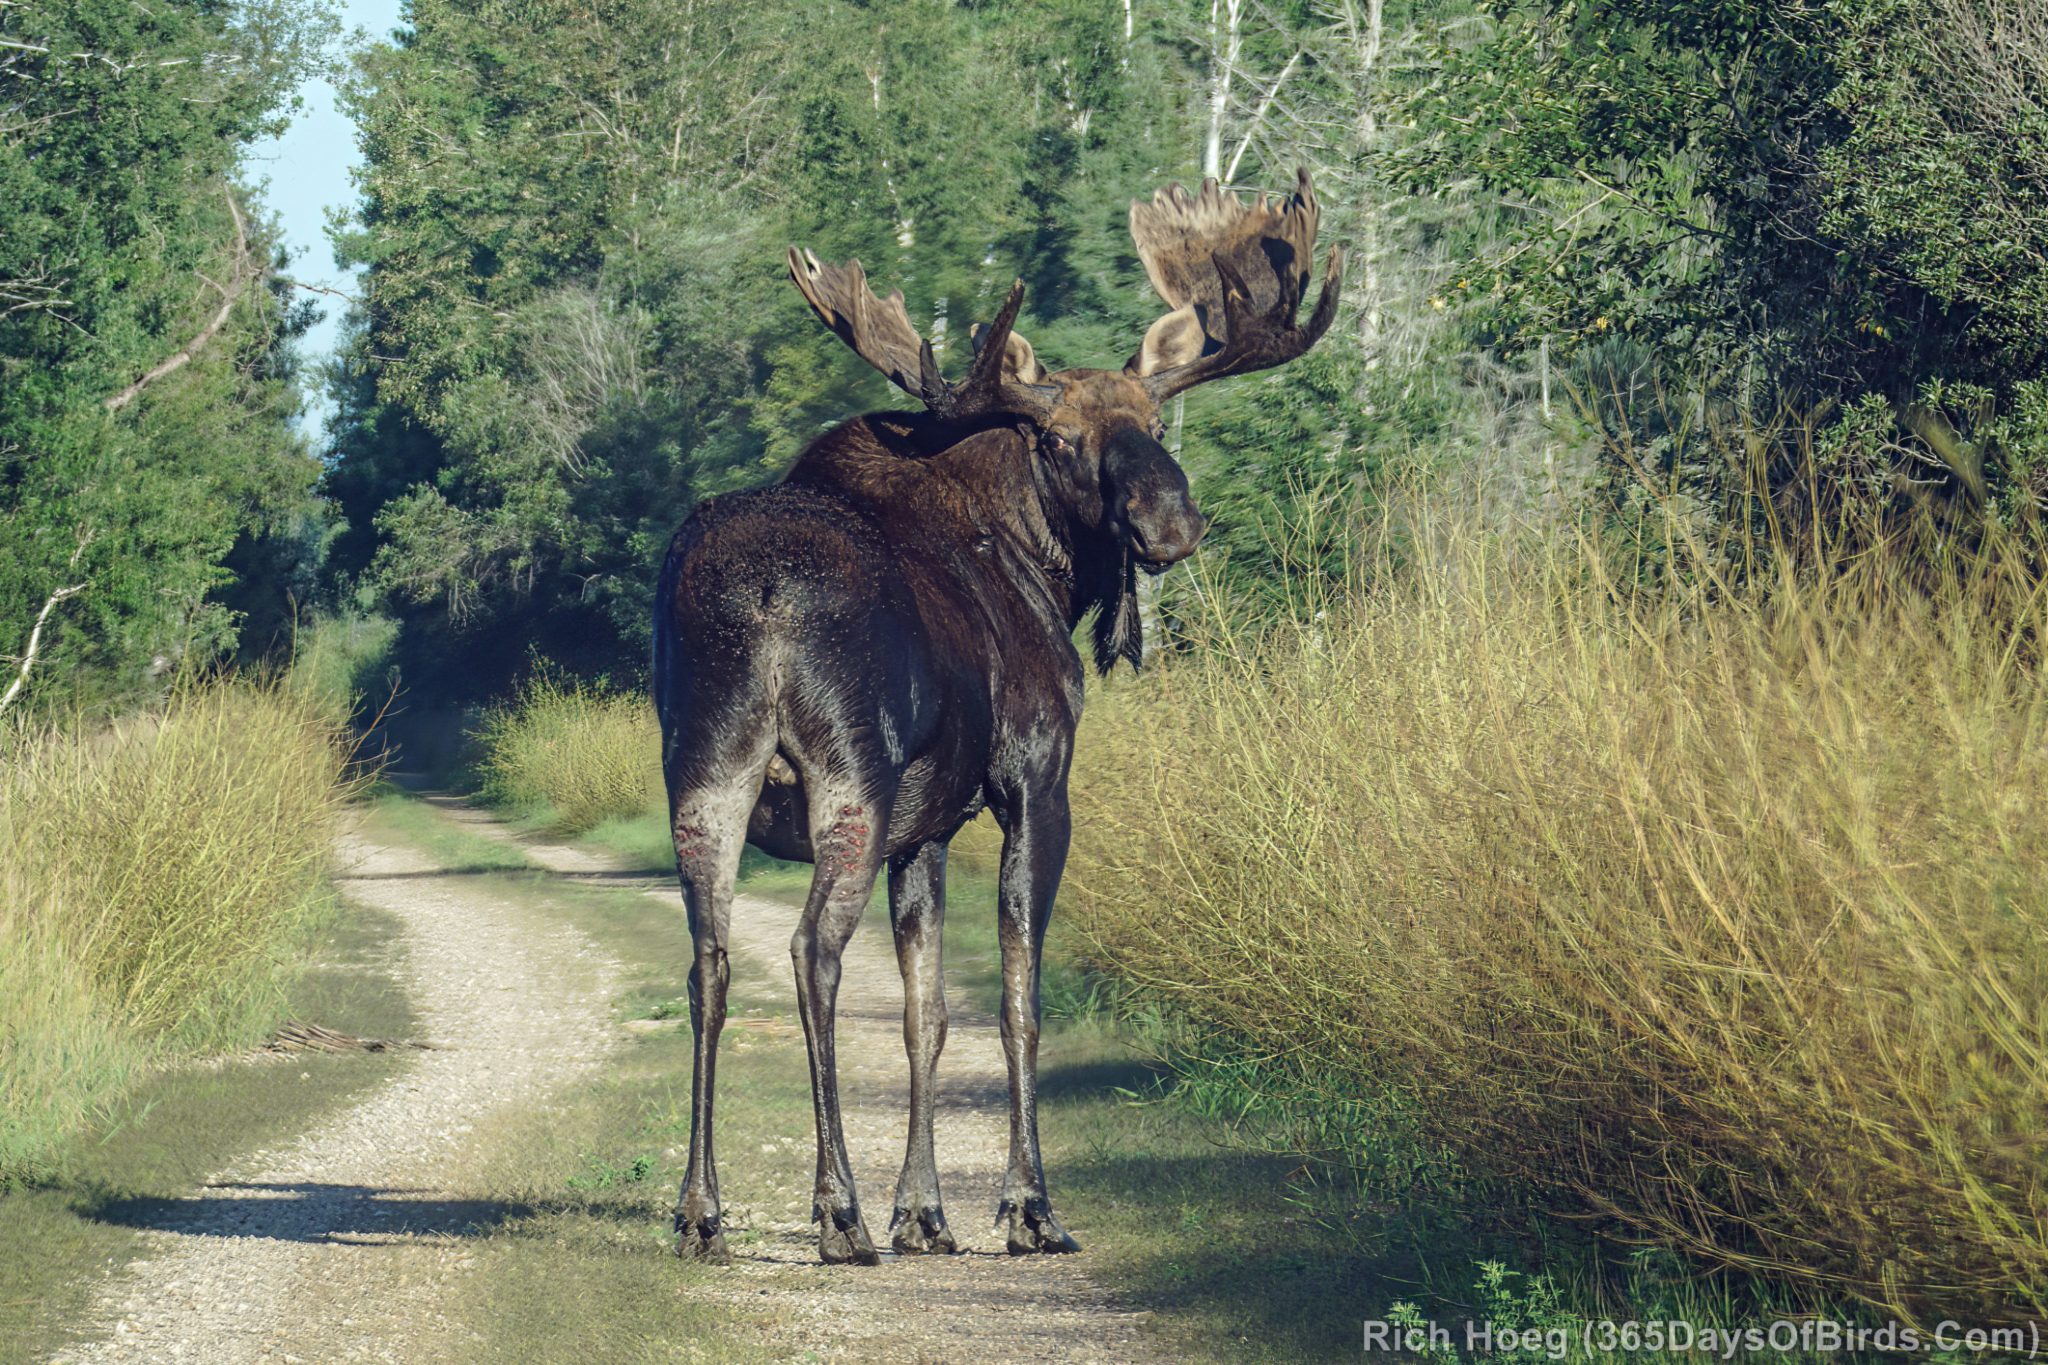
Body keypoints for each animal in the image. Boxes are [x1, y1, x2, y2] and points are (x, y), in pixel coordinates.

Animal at [653, 170, 1342, 1265]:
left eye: (1155, 419)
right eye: (1061, 439)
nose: (1171, 523)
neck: (1040, 565)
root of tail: (760, 595)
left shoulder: (924, 829)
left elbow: (926, 1012)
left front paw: (925, 1210)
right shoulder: (1033, 784)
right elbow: (1018, 1000)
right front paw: (1025, 1206)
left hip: (705, 773)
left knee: (709, 964)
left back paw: (701, 1210)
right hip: (846, 778)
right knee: (810, 955)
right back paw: (838, 1213)